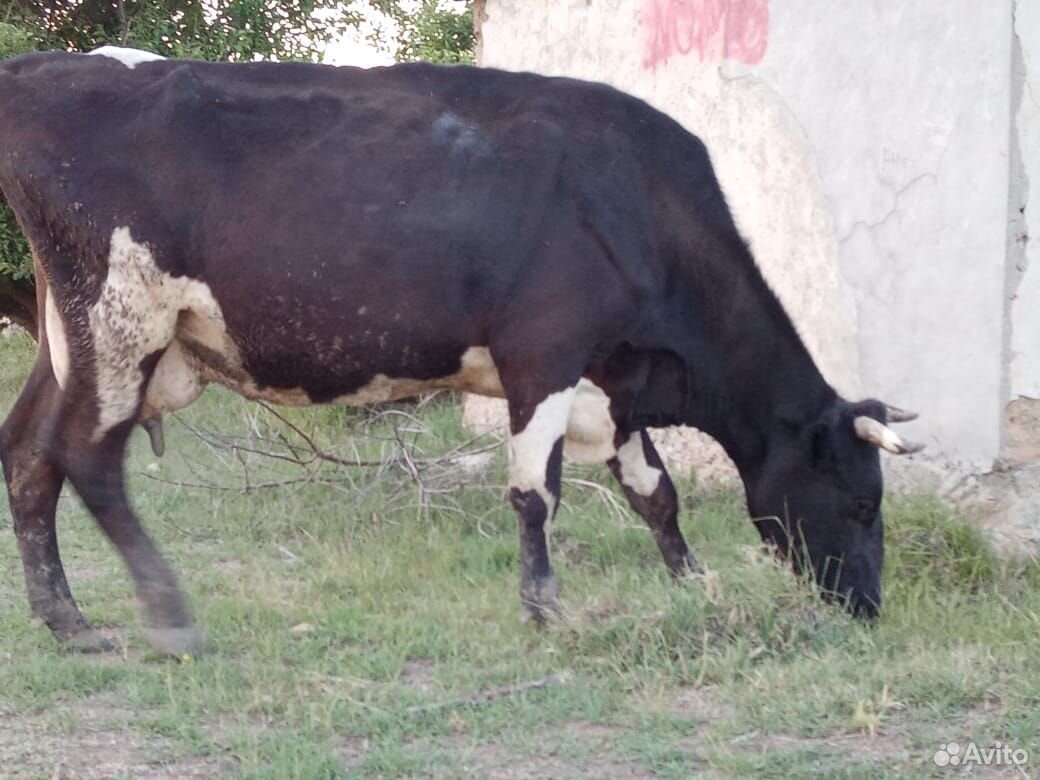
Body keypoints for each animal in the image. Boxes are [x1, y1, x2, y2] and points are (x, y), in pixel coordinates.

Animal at [0, 47, 922, 655]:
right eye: (862, 503)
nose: (871, 607)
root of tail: (43, 68)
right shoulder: (542, 352)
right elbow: (535, 494)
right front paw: (545, 608)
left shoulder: (610, 376)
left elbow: (654, 493)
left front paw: (693, 583)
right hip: (123, 319)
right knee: (86, 456)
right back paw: (169, 616)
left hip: (73, 337)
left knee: (28, 452)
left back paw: (66, 621)